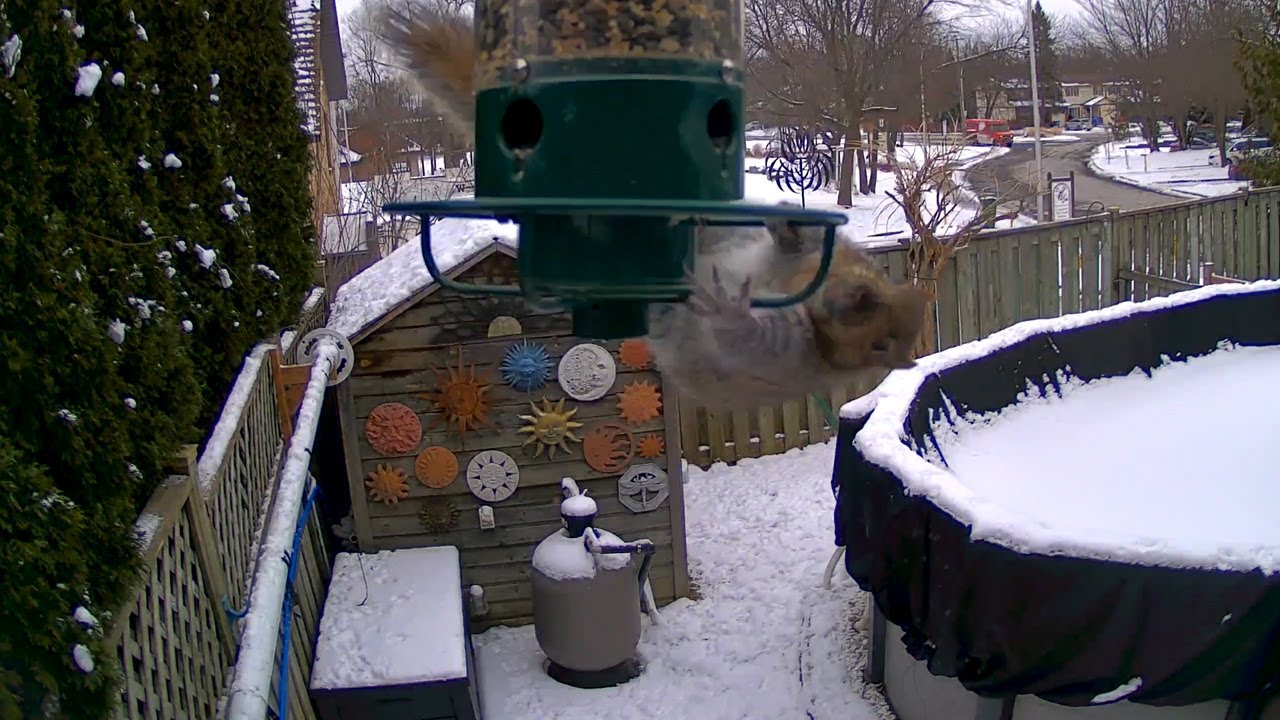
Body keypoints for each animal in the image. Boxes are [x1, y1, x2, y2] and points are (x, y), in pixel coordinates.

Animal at [381, 9, 929, 411]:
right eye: (863, 284)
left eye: (881, 346)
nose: (844, 303)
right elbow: (800, 243)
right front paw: (790, 223)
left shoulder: (792, 355)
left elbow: (745, 341)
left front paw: (729, 309)